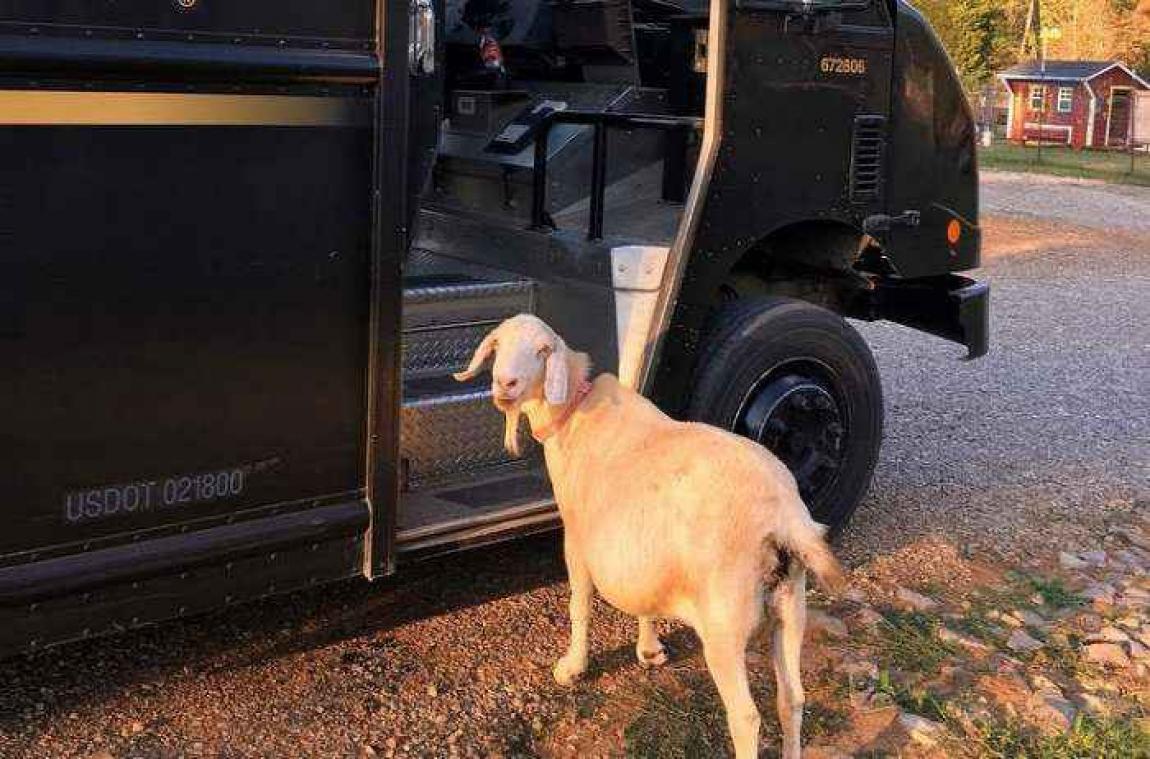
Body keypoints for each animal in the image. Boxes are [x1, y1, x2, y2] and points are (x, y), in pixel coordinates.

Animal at [455, 313, 844, 759]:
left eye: (542, 351)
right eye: (498, 345)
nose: (505, 384)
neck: (576, 413)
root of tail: (784, 514)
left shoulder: (577, 536)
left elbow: (579, 604)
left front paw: (572, 667)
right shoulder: (646, 550)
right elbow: (646, 597)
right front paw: (650, 649)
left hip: (725, 623)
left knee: (746, 717)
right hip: (790, 605)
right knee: (792, 700)